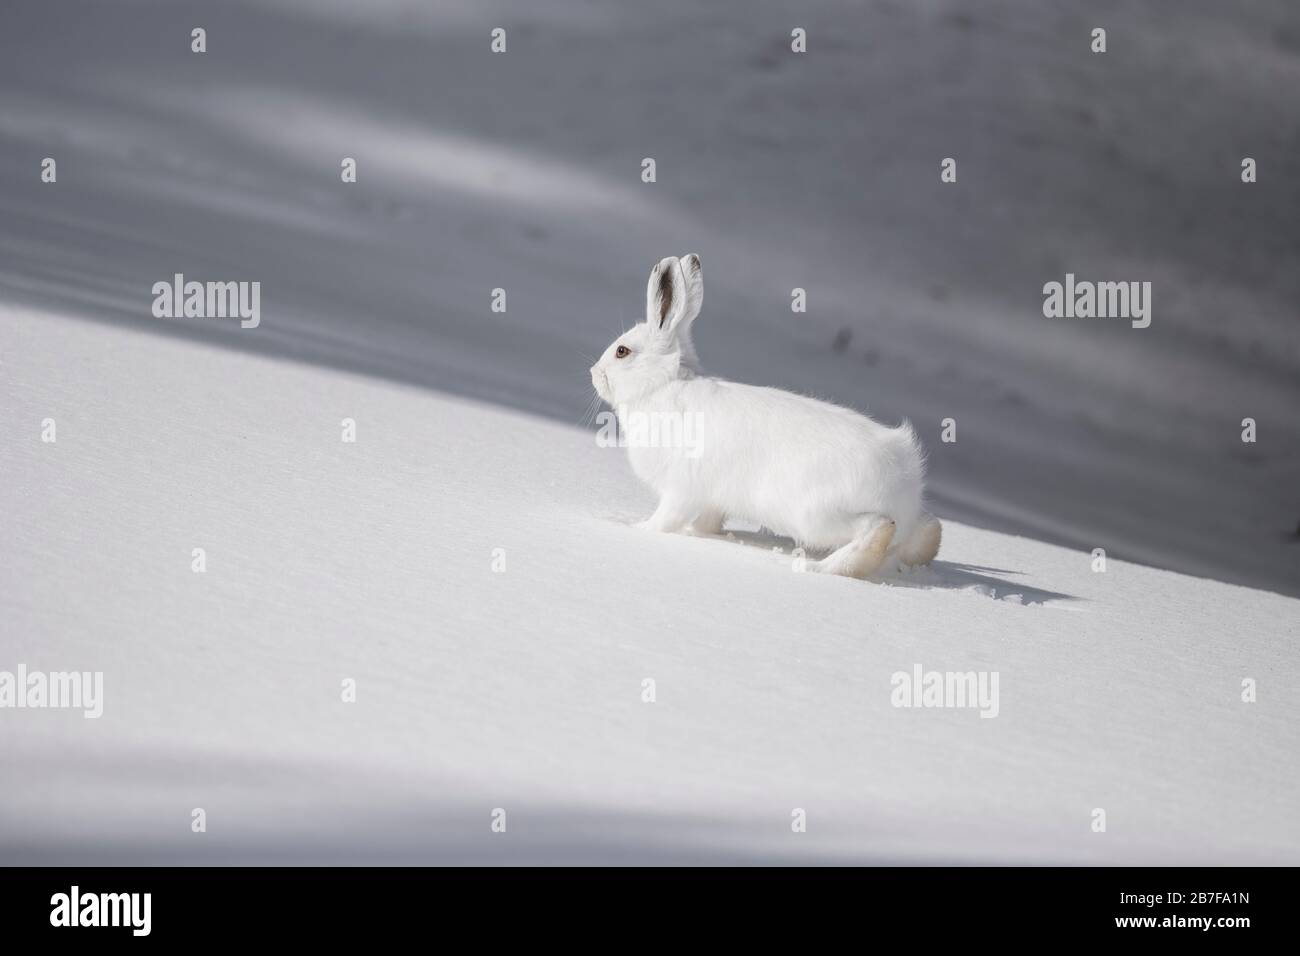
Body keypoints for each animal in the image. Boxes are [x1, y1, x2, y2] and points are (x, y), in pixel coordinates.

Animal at [590, 254, 941, 578]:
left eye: (622, 351)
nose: (594, 373)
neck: (661, 384)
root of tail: (904, 472)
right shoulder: (711, 499)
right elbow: (707, 521)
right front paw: (700, 534)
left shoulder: (682, 487)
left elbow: (667, 518)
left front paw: (641, 529)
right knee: (923, 530)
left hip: (817, 514)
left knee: (878, 528)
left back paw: (823, 567)